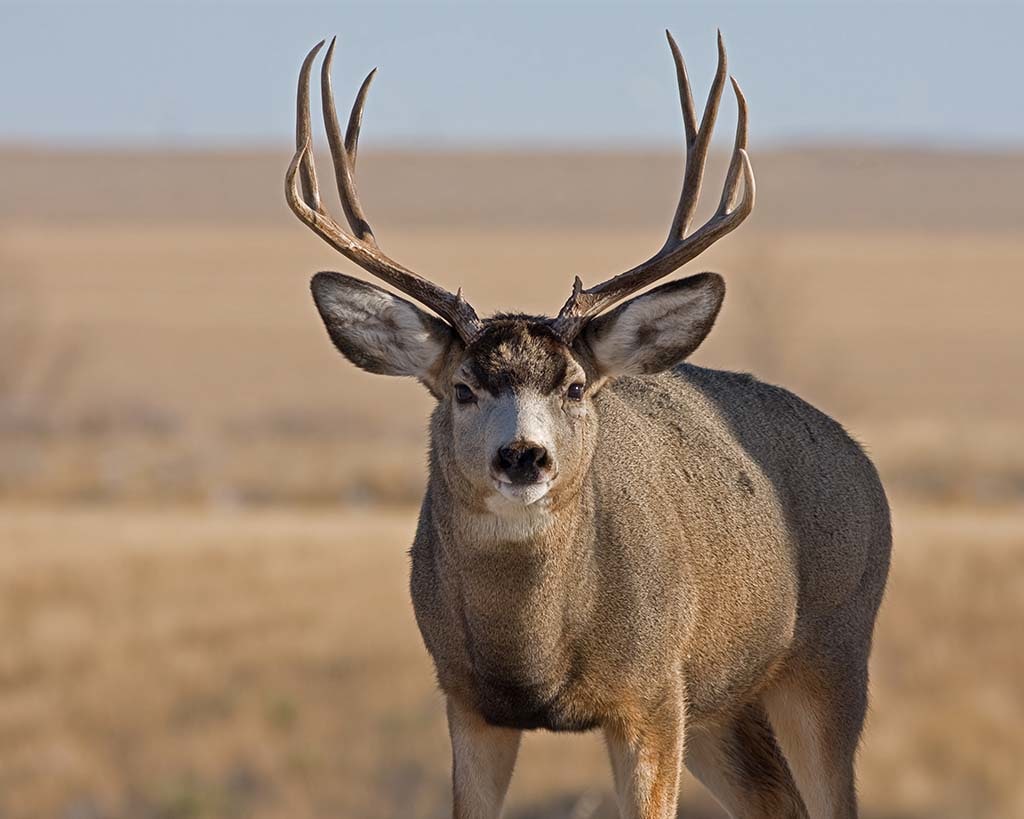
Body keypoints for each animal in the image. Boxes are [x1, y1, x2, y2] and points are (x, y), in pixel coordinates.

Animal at [285, 31, 891, 819]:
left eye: (574, 386)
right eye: (462, 388)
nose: (523, 456)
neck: (536, 658)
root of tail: (864, 465)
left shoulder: (654, 691)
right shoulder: (466, 700)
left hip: (833, 655)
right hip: (724, 703)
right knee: (775, 799)